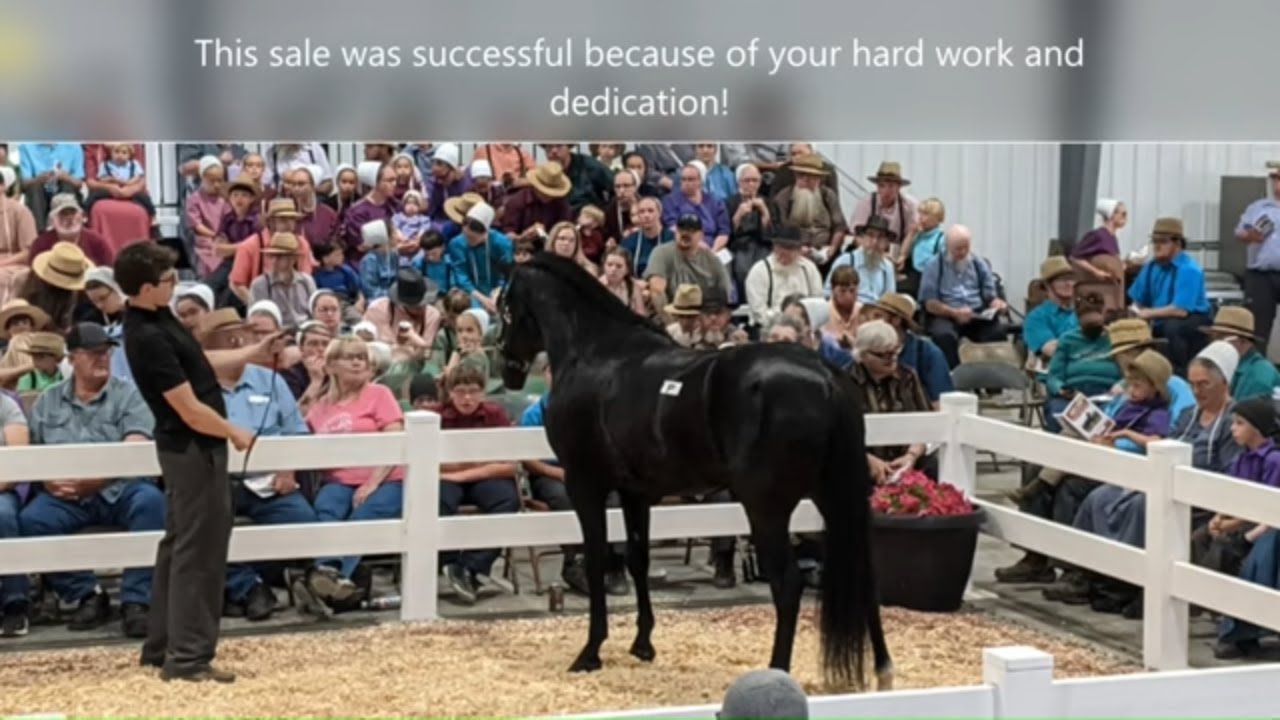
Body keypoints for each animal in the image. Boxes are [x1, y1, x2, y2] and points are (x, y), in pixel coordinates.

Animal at [497, 254, 892, 690]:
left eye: (505, 306)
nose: (508, 367)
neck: (596, 354)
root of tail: (824, 378)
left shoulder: (585, 483)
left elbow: (598, 559)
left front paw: (590, 652)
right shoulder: (635, 492)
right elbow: (637, 559)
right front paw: (643, 644)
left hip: (766, 508)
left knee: (789, 583)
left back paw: (776, 671)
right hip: (832, 495)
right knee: (863, 575)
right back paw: (883, 670)